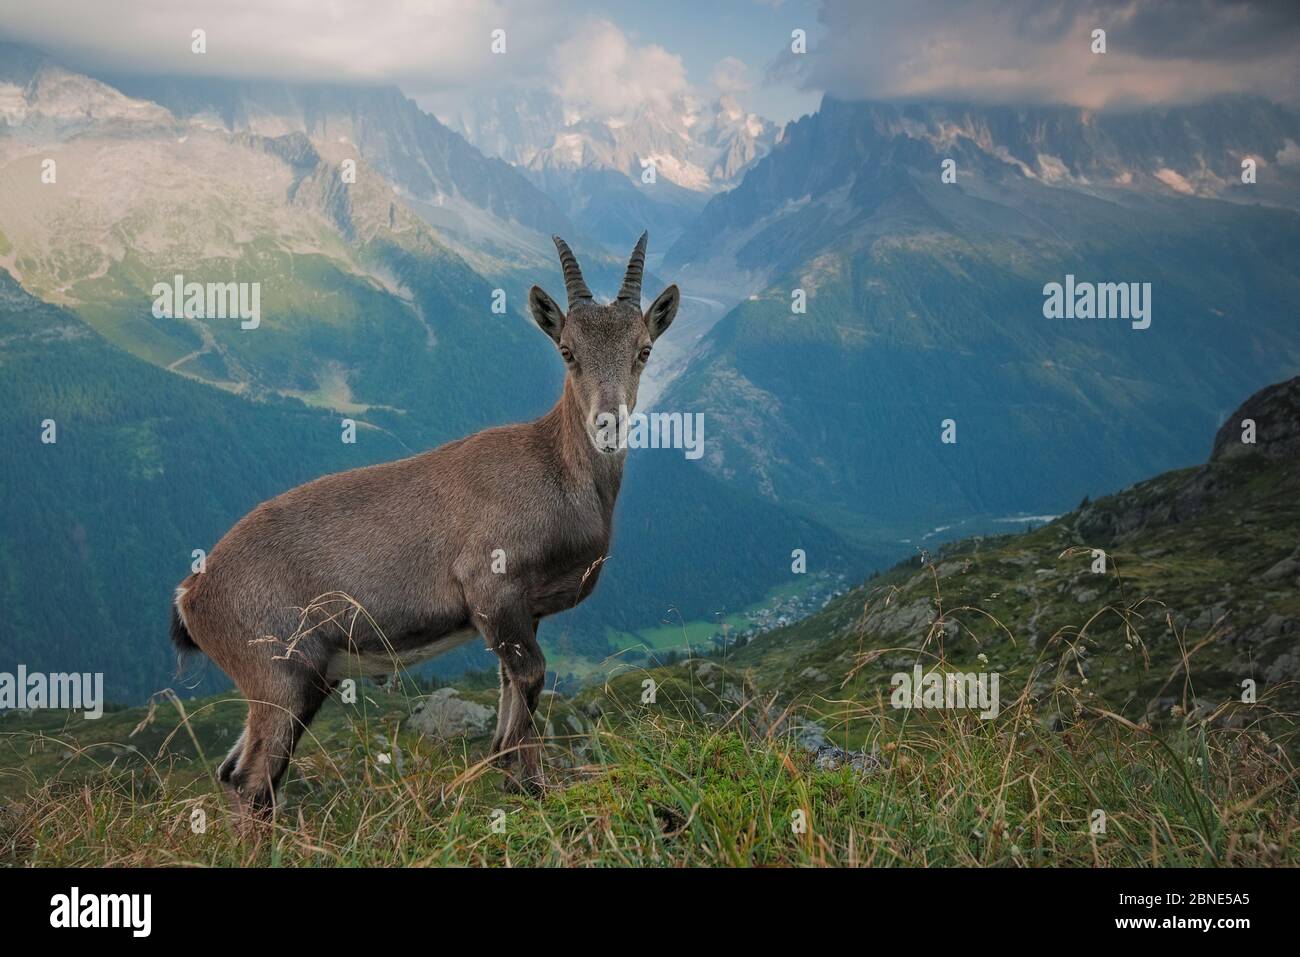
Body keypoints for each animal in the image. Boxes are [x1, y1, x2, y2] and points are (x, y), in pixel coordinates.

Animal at [170, 233, 679, 811]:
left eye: (644, 350)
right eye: (567, 351)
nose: (608, 424)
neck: (556, 469)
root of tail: (190, 595)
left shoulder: (522, 612)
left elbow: (510, 698)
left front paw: (518, 785)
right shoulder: (492, 589)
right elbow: (528, 686)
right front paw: (532, 790)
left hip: (291, 682)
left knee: (231, 772)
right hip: (280, 674)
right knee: (252, 780)